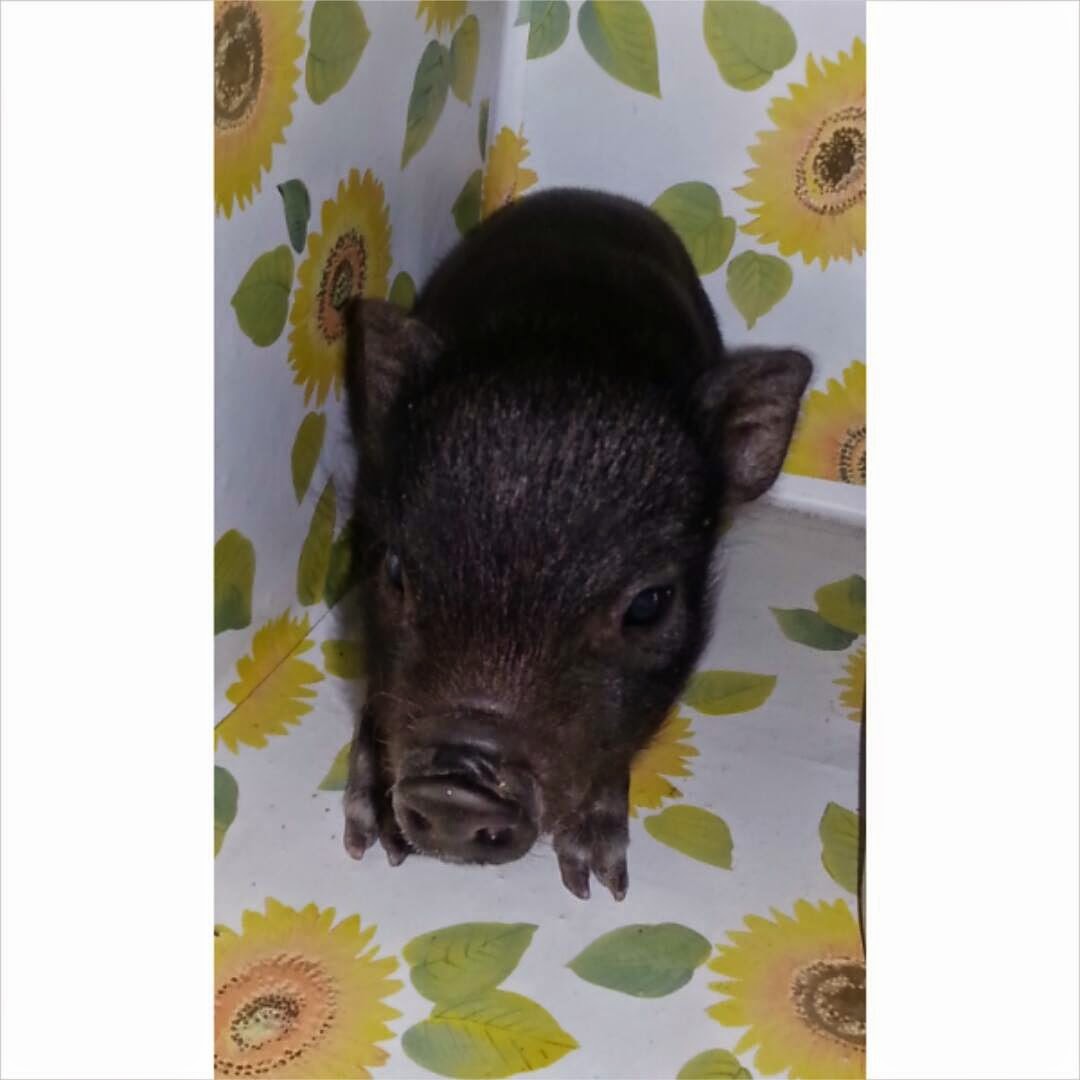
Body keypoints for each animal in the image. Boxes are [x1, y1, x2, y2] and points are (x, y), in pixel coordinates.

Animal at [340, 188, 810, 900]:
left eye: (649, 604)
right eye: (395, 570)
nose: (456, 788)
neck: (568, 335)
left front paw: (597, 885)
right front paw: (374, 843)